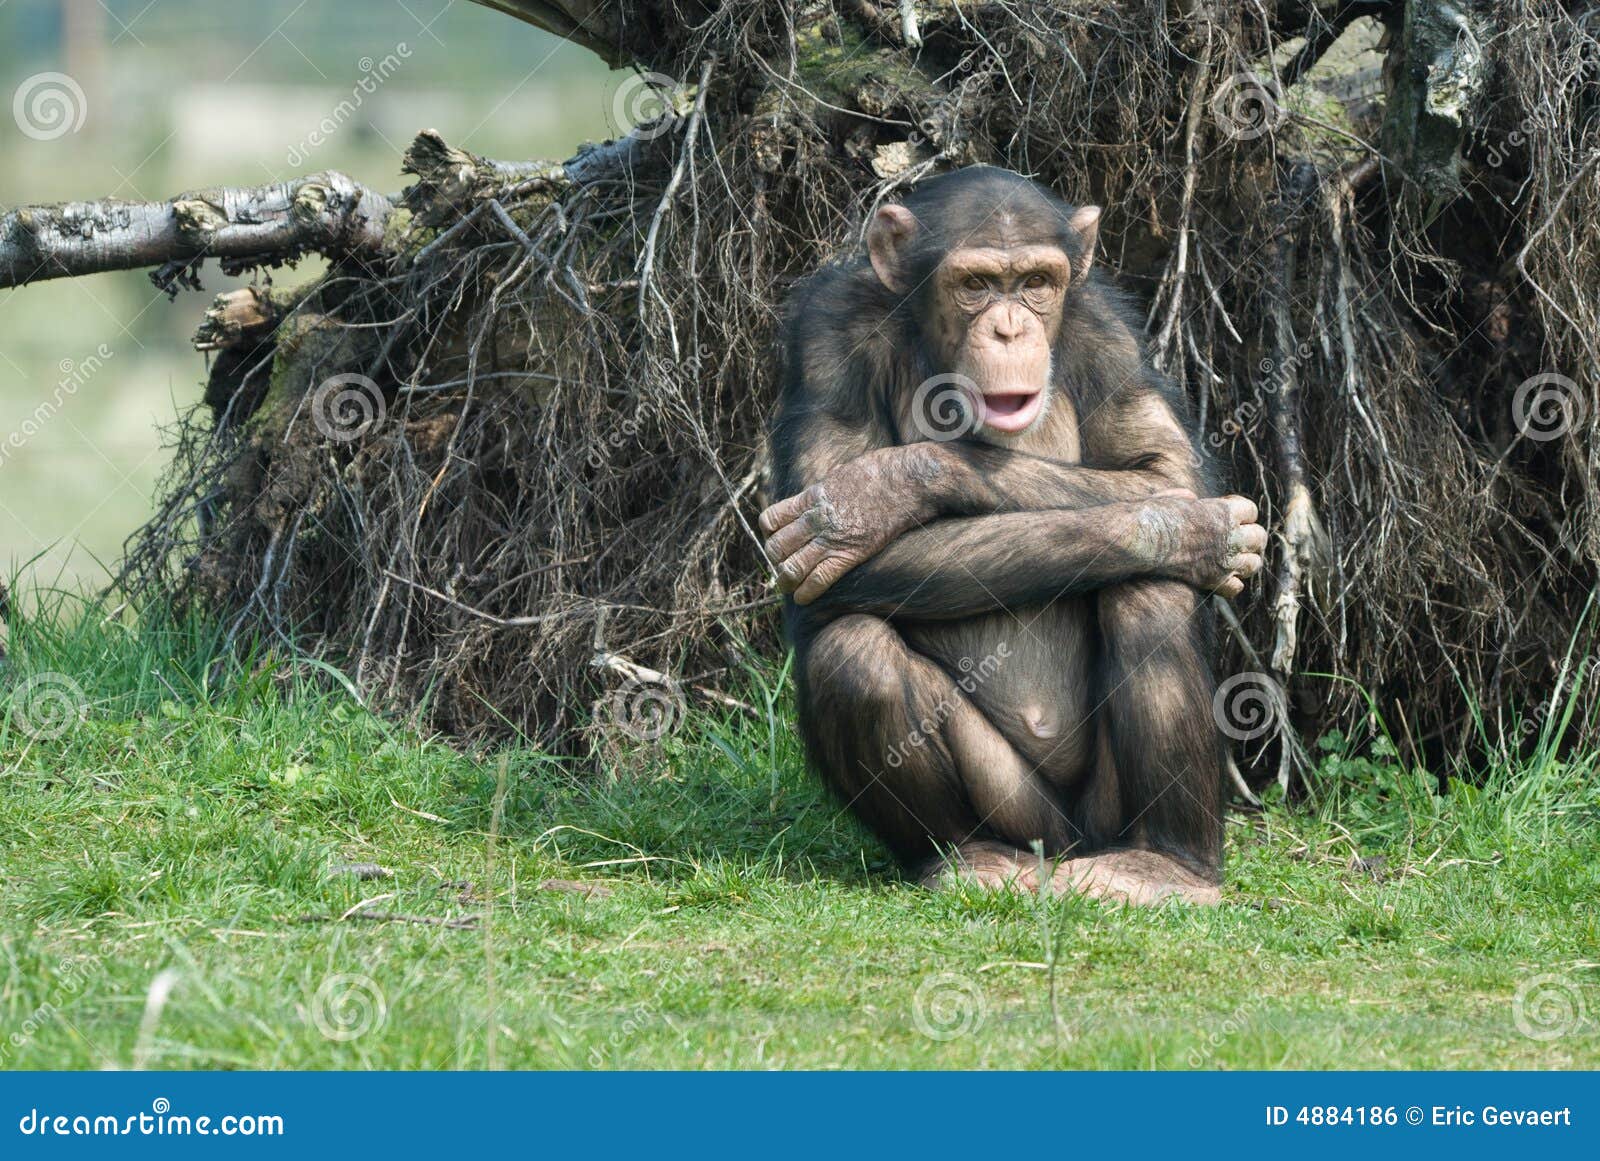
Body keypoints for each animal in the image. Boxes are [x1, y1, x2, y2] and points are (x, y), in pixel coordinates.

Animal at [759, 166, 1266, 906]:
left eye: (1035, 282)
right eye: (975, 284)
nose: (1007, 327)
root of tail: (1066, 849)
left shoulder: (1107, 328)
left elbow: (1163, 471)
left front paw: (885, 489)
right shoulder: (829, 332)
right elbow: (828, 578)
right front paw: (865, 503)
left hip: (1101, 819)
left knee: (1148, 592)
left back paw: (1170, 865)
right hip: (1024, 812)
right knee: (853, 655)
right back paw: (970, 857)